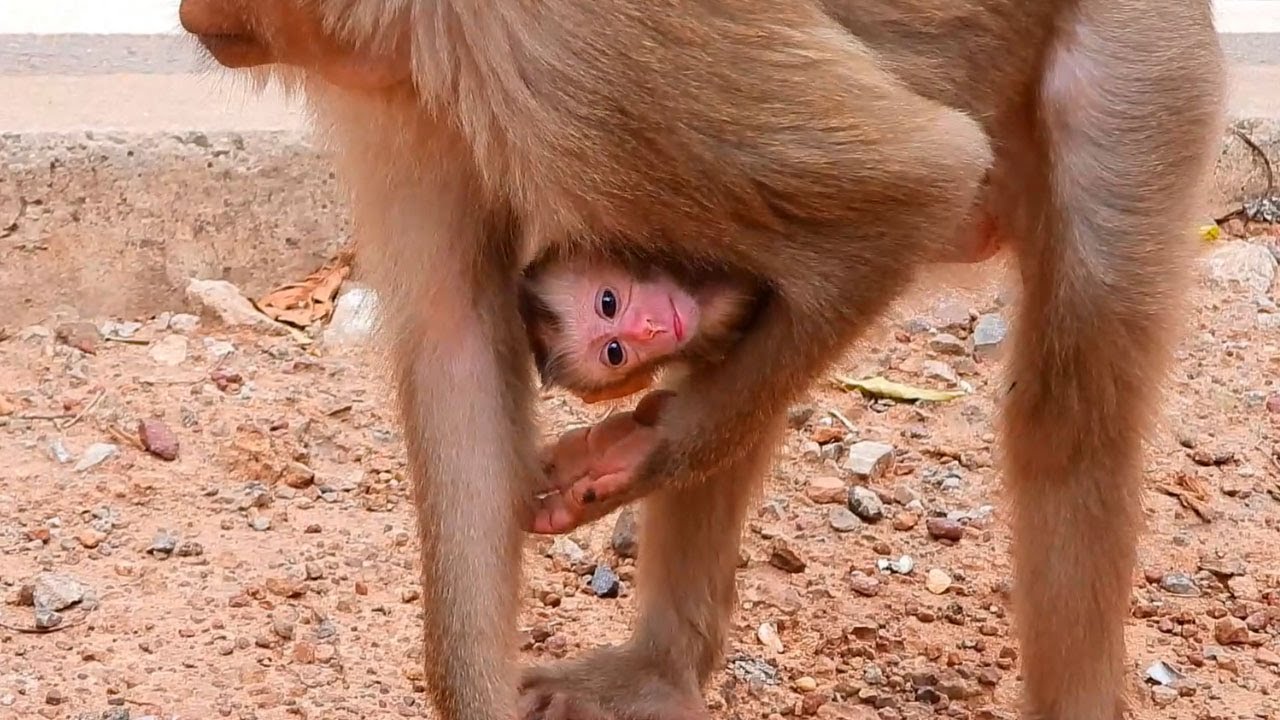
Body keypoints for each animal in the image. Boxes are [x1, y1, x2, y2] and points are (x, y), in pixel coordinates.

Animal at [177, 2, 1226, 720]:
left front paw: (632, 460)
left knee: (1068, 407)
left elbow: (920, 180)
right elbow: (455, 345)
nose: (194, 18)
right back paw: (660, 673)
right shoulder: (411, 84)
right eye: (606, 327)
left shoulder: (576, 53)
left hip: (1137, 53)